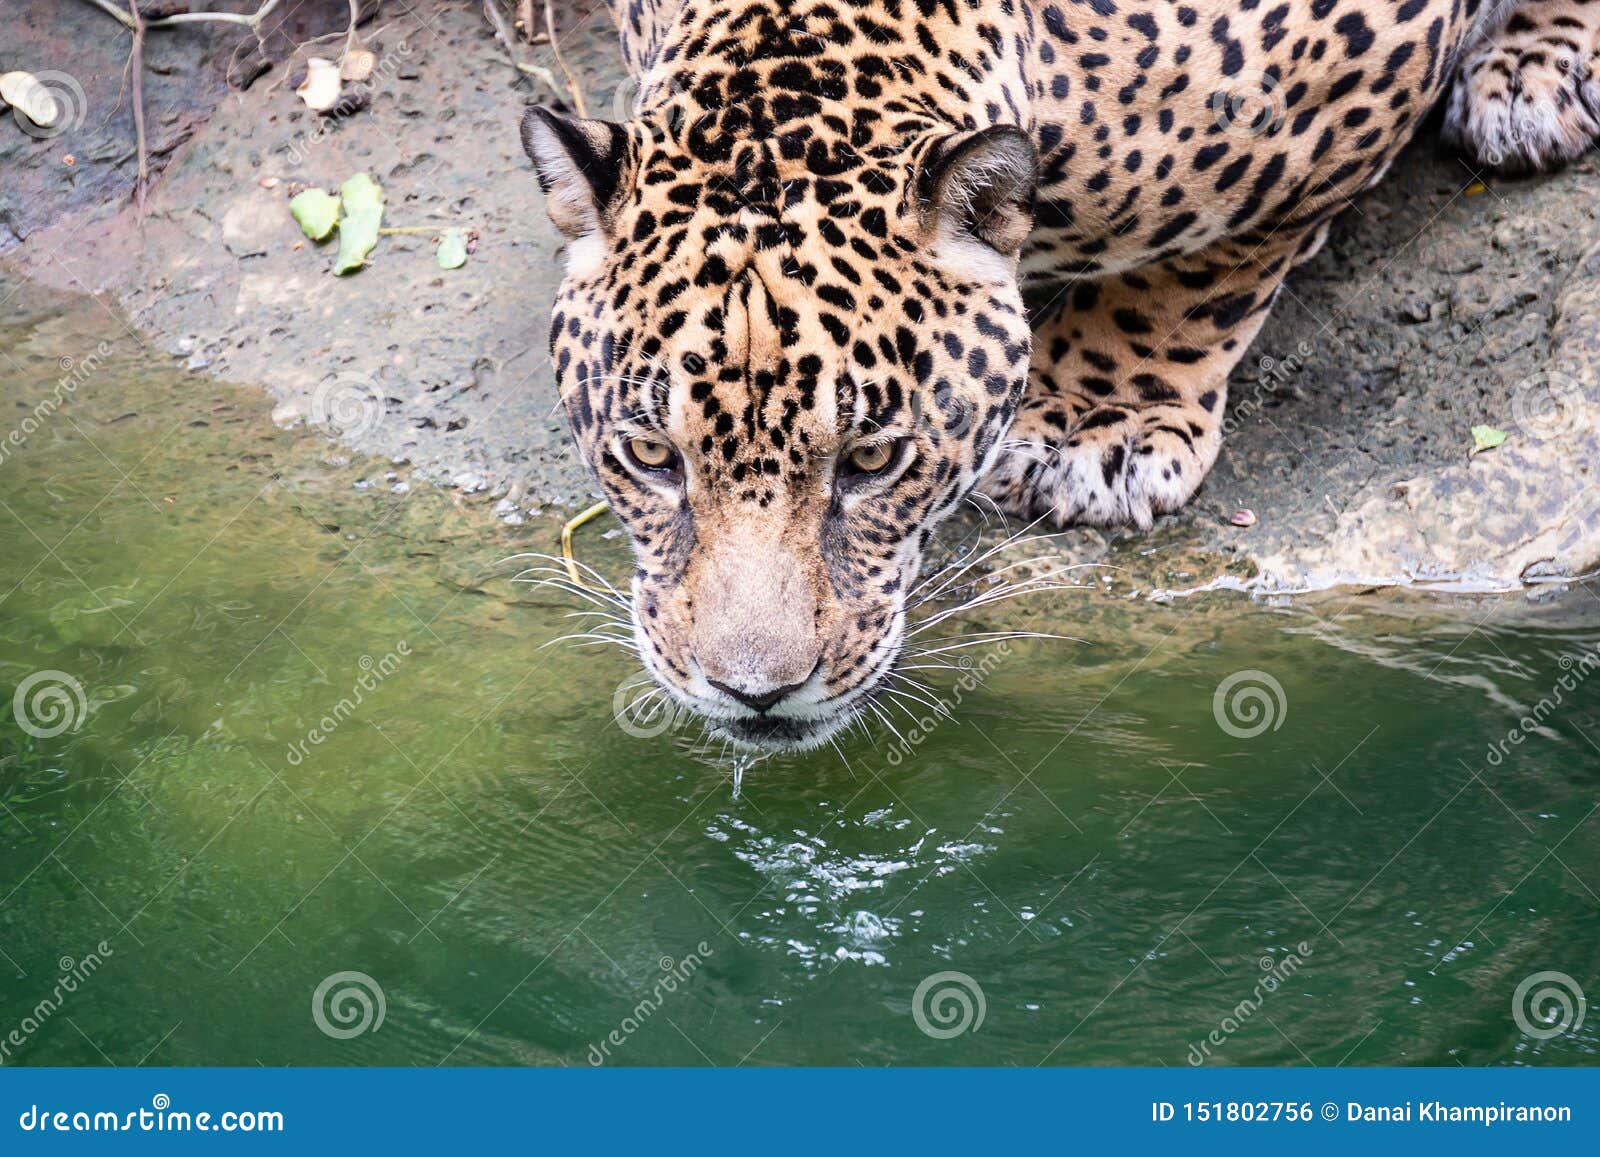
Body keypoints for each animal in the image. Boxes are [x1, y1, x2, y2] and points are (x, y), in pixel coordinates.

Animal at [521, 0, 1600, 751]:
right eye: (650, 456)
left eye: (870, 461)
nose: (754, 691)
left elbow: (1202, 265)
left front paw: (1098, 422)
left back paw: (1528, 80)